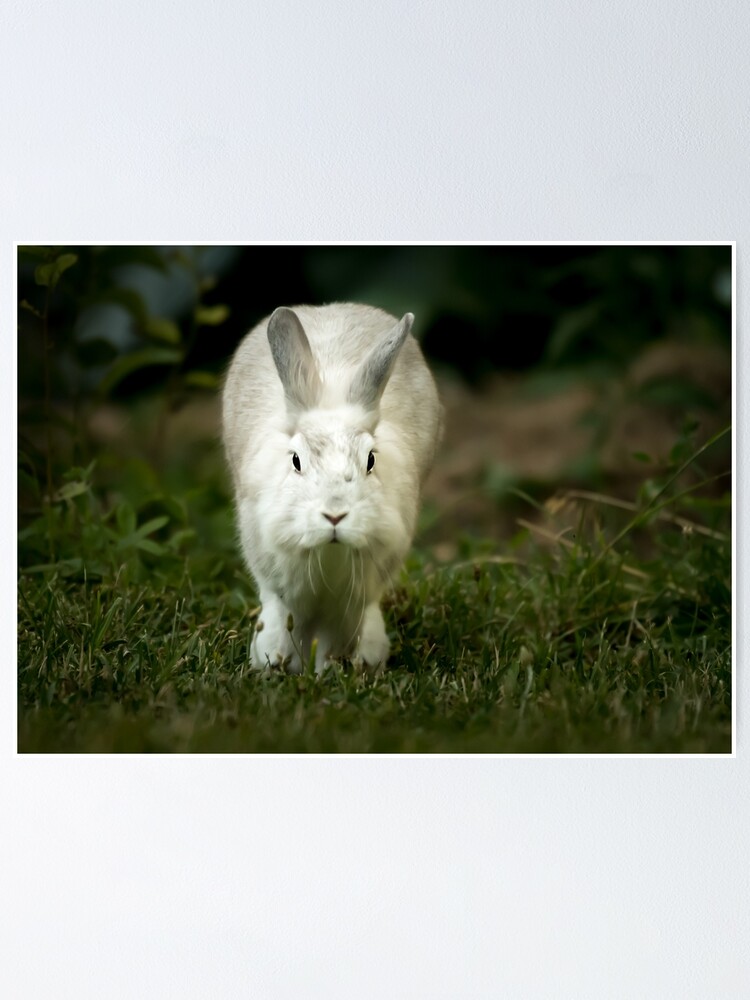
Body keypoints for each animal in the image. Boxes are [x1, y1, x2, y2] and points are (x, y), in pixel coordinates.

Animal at [222, 302, 442, 673]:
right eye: (296, 461)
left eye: (371, 460)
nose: (335, 516)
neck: (329, 553)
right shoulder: (281, 587)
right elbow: (286, 626)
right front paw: (278, 664)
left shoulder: (352, 602)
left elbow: (333, 641)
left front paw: (329, 671)